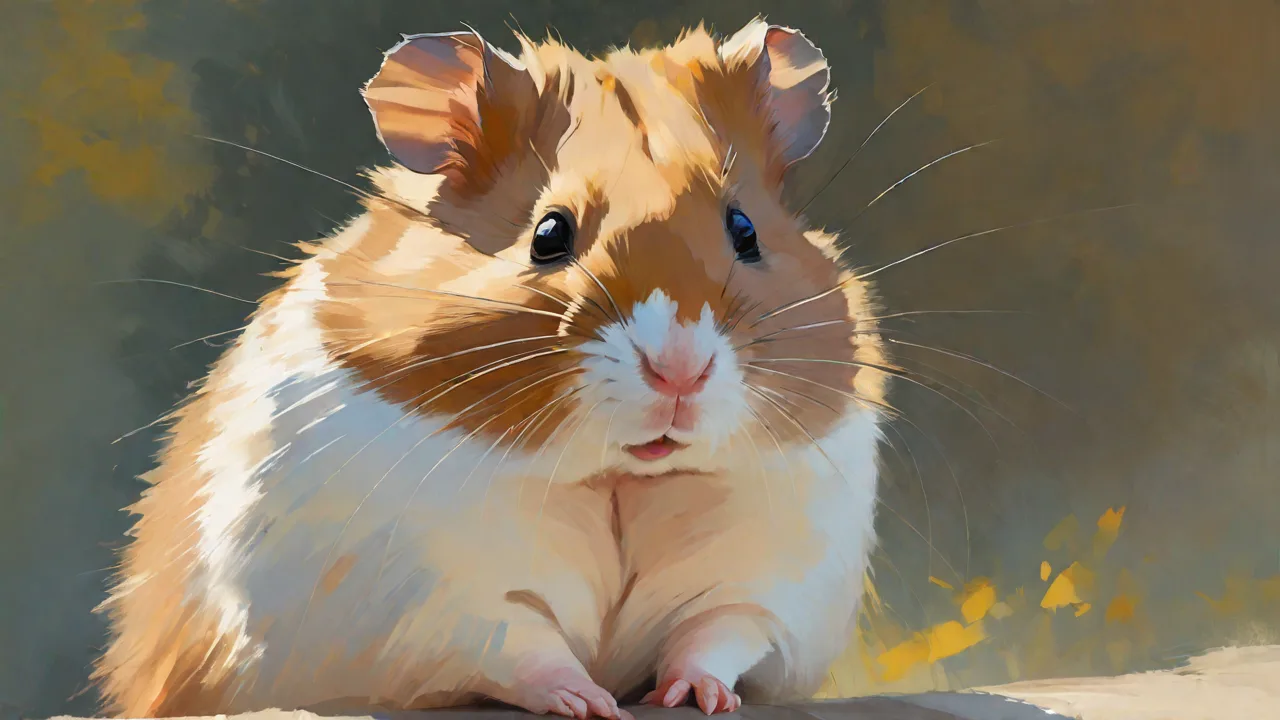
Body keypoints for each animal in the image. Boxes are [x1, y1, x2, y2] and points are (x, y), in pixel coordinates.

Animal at [94, 18, 890, 719]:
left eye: (745, 230)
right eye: (548, 234)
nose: (679, 372)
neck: (619, 480)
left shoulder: (765, 583)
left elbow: (715, 636)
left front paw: (695, 698)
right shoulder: (439, 599)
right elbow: (520, 646)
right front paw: (592, 703)